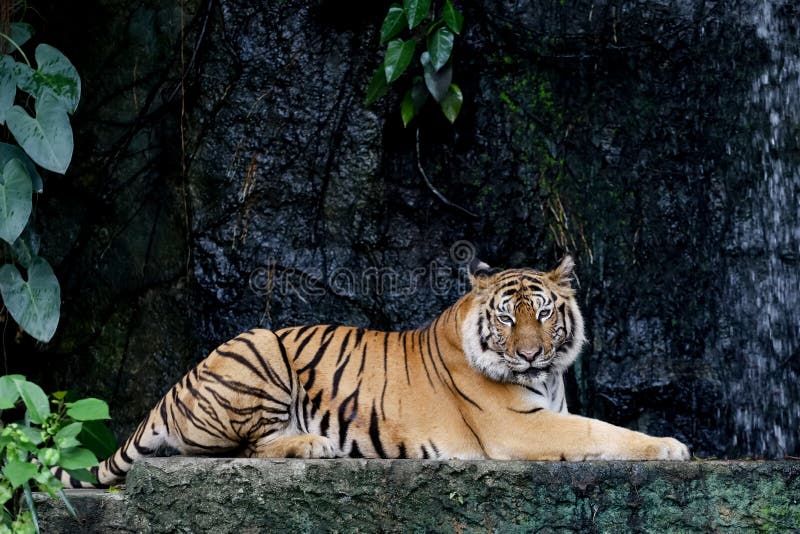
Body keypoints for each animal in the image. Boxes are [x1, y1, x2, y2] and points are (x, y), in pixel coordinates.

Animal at [58, 256, 689, 487]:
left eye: (546, 314)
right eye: (508, 317)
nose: (531, 353)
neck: (546, 377)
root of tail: (169, 392)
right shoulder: (519, 426)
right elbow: (601, 432)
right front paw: (670, 446)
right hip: (258, 344)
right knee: (236, 448)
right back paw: (313, 445)